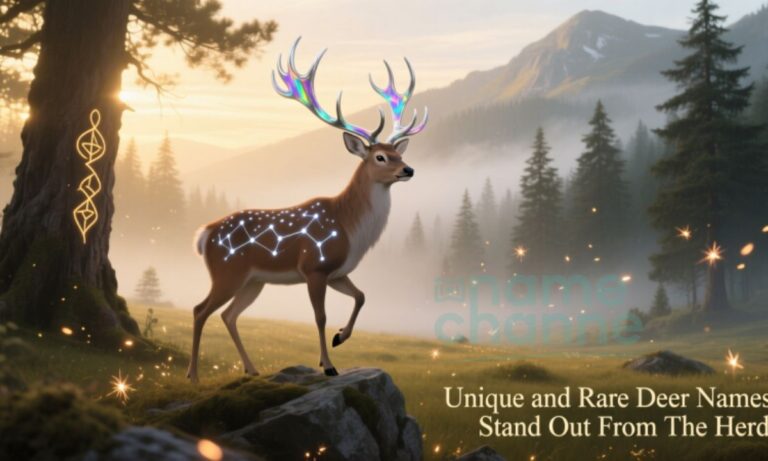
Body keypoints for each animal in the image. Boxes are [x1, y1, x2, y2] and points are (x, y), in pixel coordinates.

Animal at [186, 38, 428, 382]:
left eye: (399, 153)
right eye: (380, 157)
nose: (408, 170)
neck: (350, 227)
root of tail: (203, 235)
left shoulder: (338, 271)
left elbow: (362, 296)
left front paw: (341, 337)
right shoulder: (315, 266)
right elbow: (320, 316)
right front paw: (328, 364)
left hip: (253, 281)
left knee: (228, 315)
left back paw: (251, 369)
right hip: (227, 272)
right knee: (200, 309)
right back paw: (193, 375)